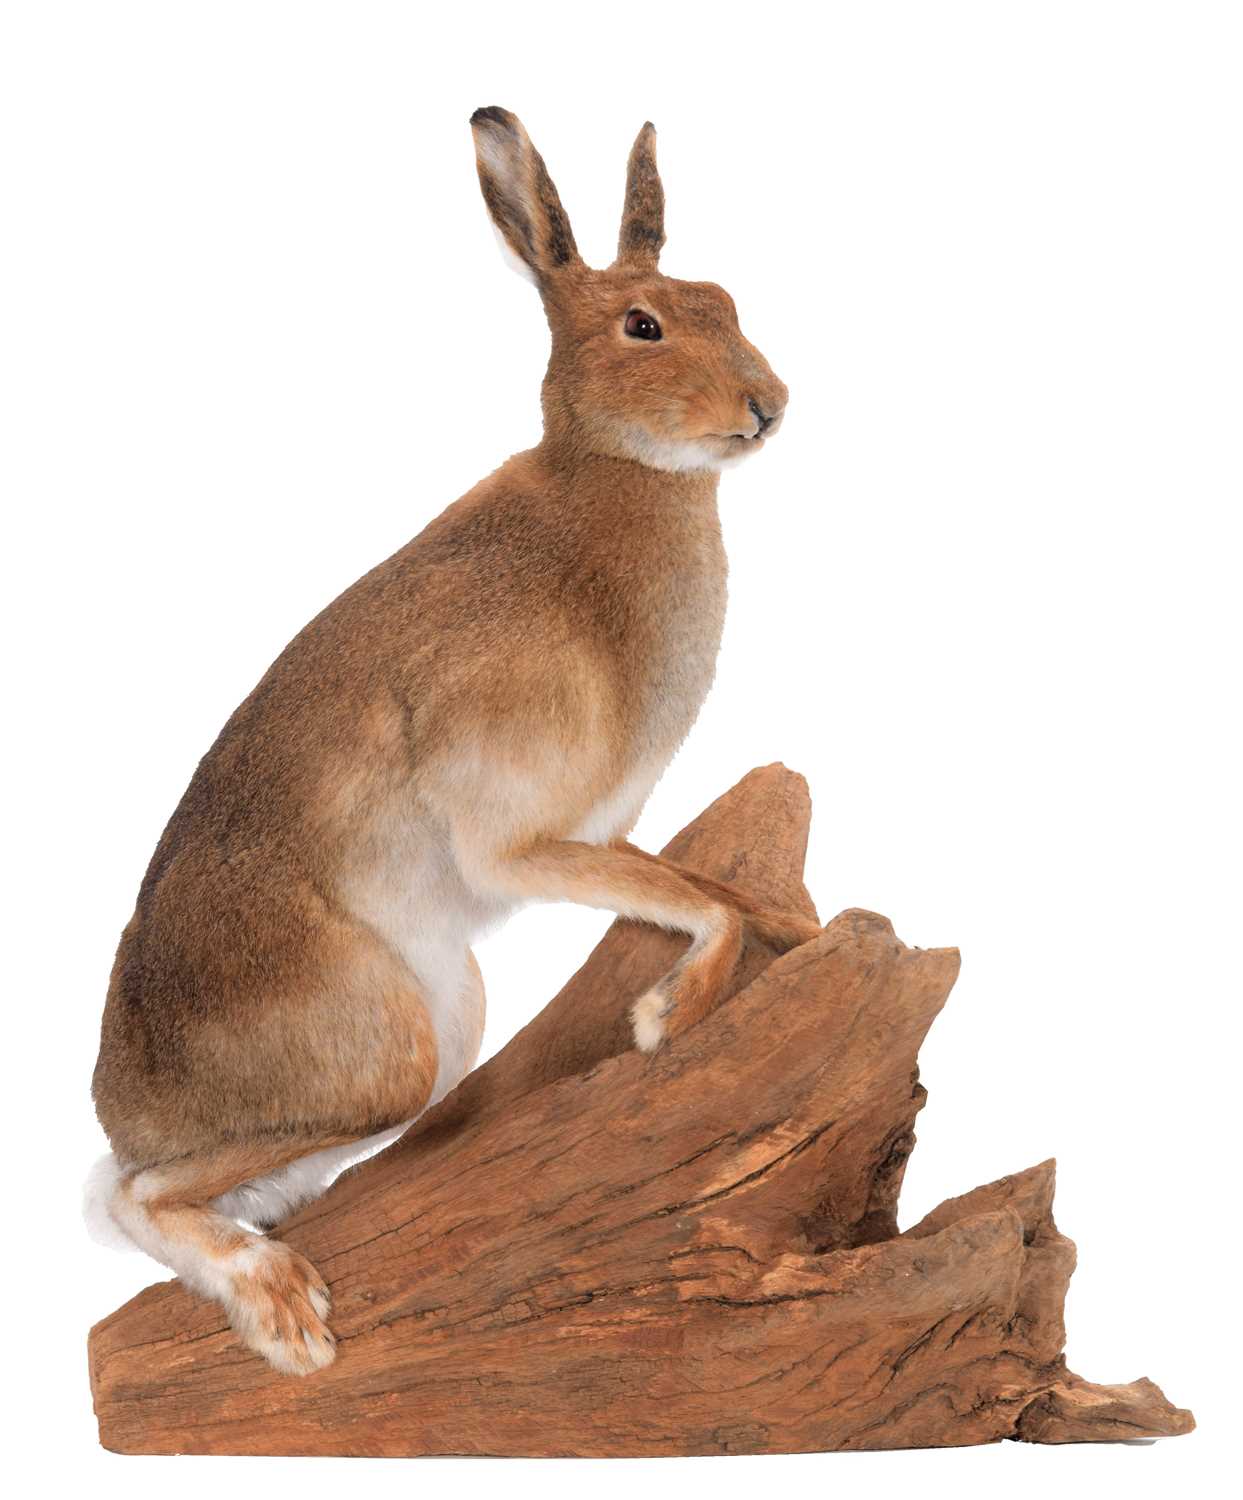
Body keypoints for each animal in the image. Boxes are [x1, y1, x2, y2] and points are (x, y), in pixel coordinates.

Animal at [89, 105, 819, 1376]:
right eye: (643, 325)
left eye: (723, 297)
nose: (766, 404)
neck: (610, 474)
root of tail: (118, 1101)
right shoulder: (520, 837)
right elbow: (701, 904)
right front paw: (665, 1017)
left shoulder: (608, 839)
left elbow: (707, 884)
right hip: (382, 1046)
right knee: (130, 1193)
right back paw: (278, 1307)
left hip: (453, 1015)